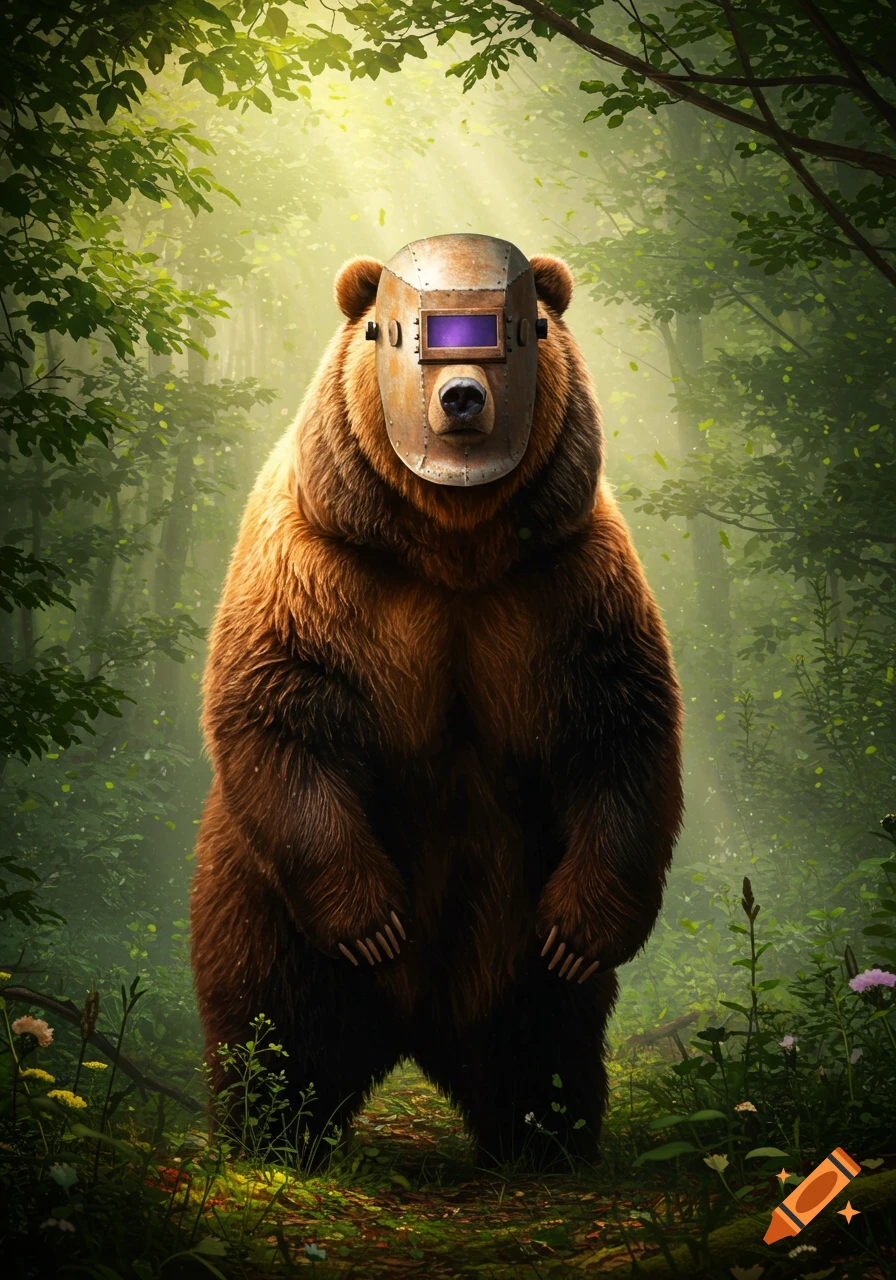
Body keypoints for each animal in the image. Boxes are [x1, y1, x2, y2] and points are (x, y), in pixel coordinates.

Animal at [191, 234, 683, 1167]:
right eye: (387, 331)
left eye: (531, 328)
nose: (461, 398)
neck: (453, 548)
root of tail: (423, 1023)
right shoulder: (320, 568)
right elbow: (280, 710)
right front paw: (372, 921)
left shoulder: (565, 583)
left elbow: (620, 727)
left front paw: (584, 933)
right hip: (261, 904)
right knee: (276, 1026)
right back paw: (270, 1138)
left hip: (515, 931)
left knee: (547, 1041)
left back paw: (546, 1140)